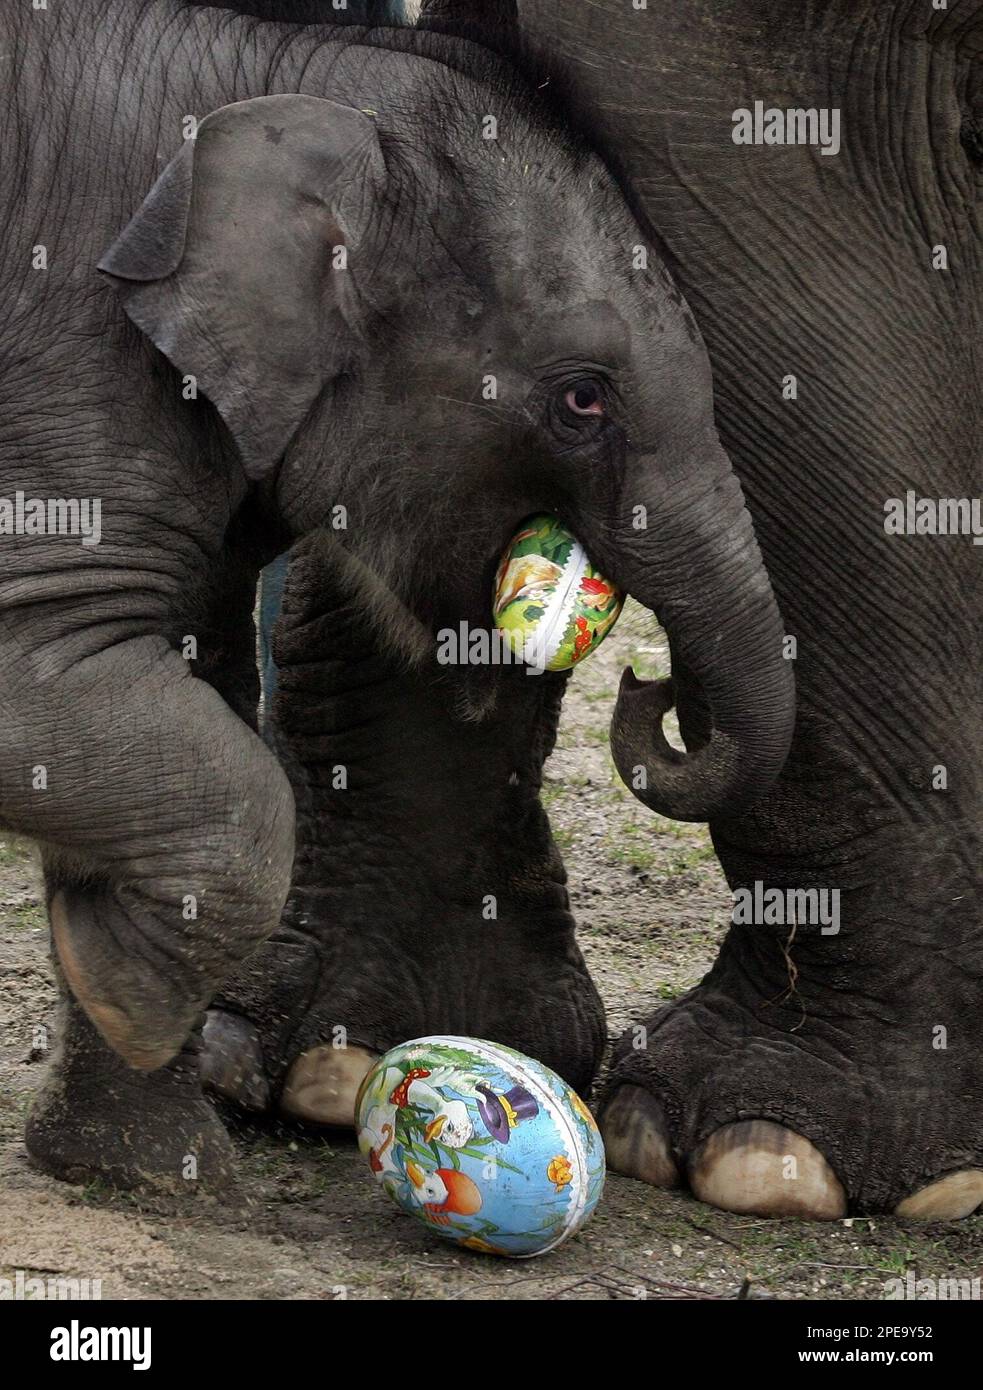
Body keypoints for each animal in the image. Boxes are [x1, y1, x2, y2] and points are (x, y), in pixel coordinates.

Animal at [2, 1, 795, 1188]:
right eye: (581, 399)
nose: (649, 683)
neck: (295, 80)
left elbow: (176, 689)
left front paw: (145, 1155)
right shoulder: (63, 359)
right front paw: (133, 991)